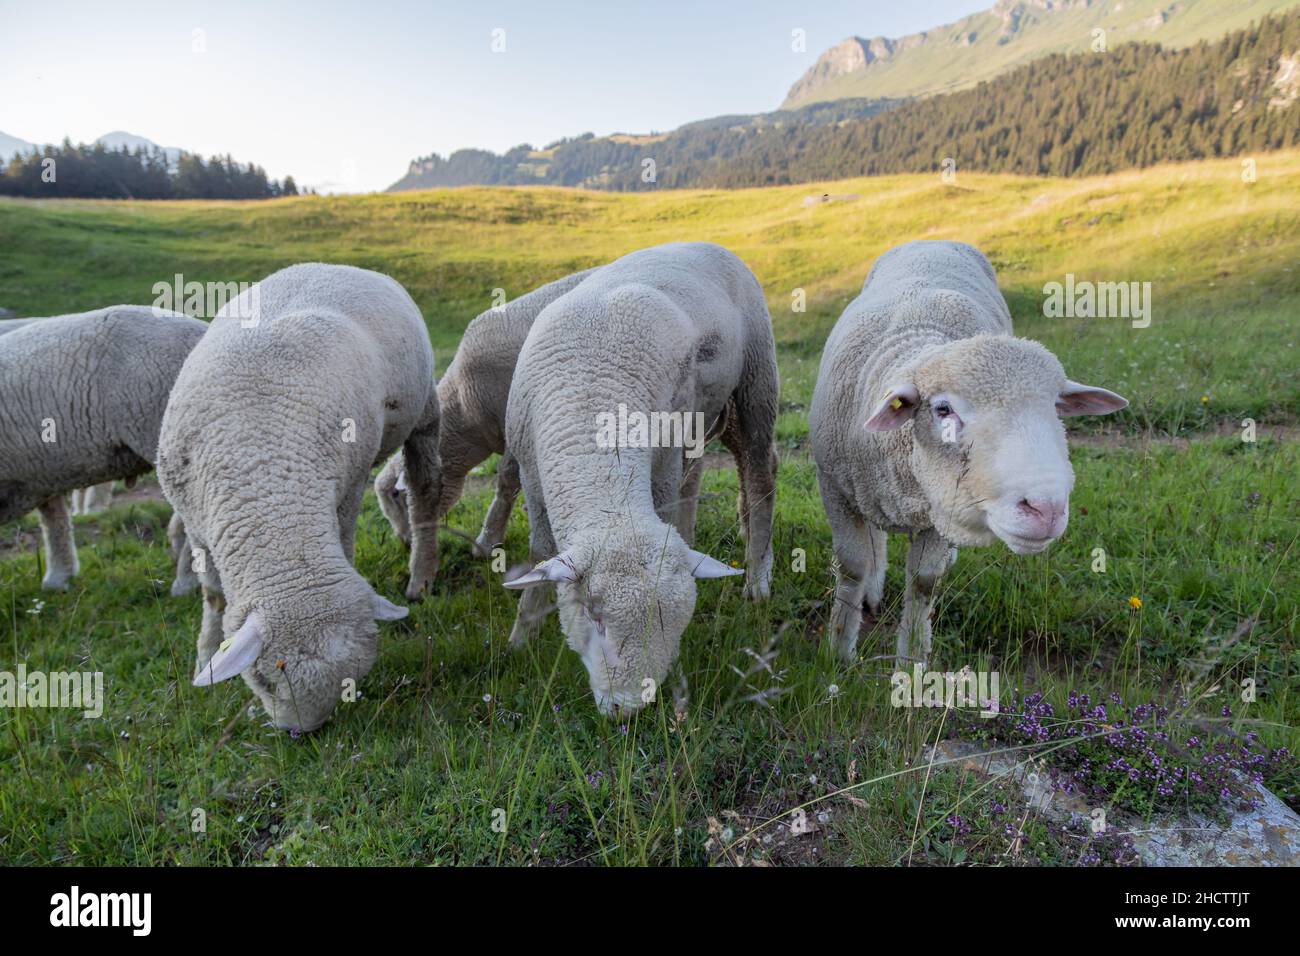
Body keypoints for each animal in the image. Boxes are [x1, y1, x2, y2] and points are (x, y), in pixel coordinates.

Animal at [156, 263, 441, 732]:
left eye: (354, 681)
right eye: (266, 681)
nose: (299, 733)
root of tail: (332, 265)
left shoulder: (347, 487)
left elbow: (345, 540)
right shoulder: (195, 518)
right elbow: (214, 594)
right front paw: (206, 656)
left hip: (424, 411)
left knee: (425, 488)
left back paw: (421, 573)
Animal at [374, 265, 602, 558]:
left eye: (396, 495)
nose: (406, 544)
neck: (464, 412)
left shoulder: (516, 425)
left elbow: (506, 481)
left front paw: (488, 540)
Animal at [502, 242, 779, 716]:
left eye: (678, 624)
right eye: (593, 614)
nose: (627, 710)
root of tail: (698, 242)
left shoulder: (661, 460)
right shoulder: (531, 472)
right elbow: (541, 551)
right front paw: (523, 633)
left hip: (756, 378)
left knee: (760, 474)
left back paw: (758, 579)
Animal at [808, 240, 1128, 667]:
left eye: (1054, 407)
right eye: (943, 409)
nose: (1045, 510)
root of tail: (934, 240)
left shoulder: (937, 510)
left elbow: (923, 582)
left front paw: (911, 661)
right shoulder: (835, 487)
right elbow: (853, 567)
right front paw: (839, 652)